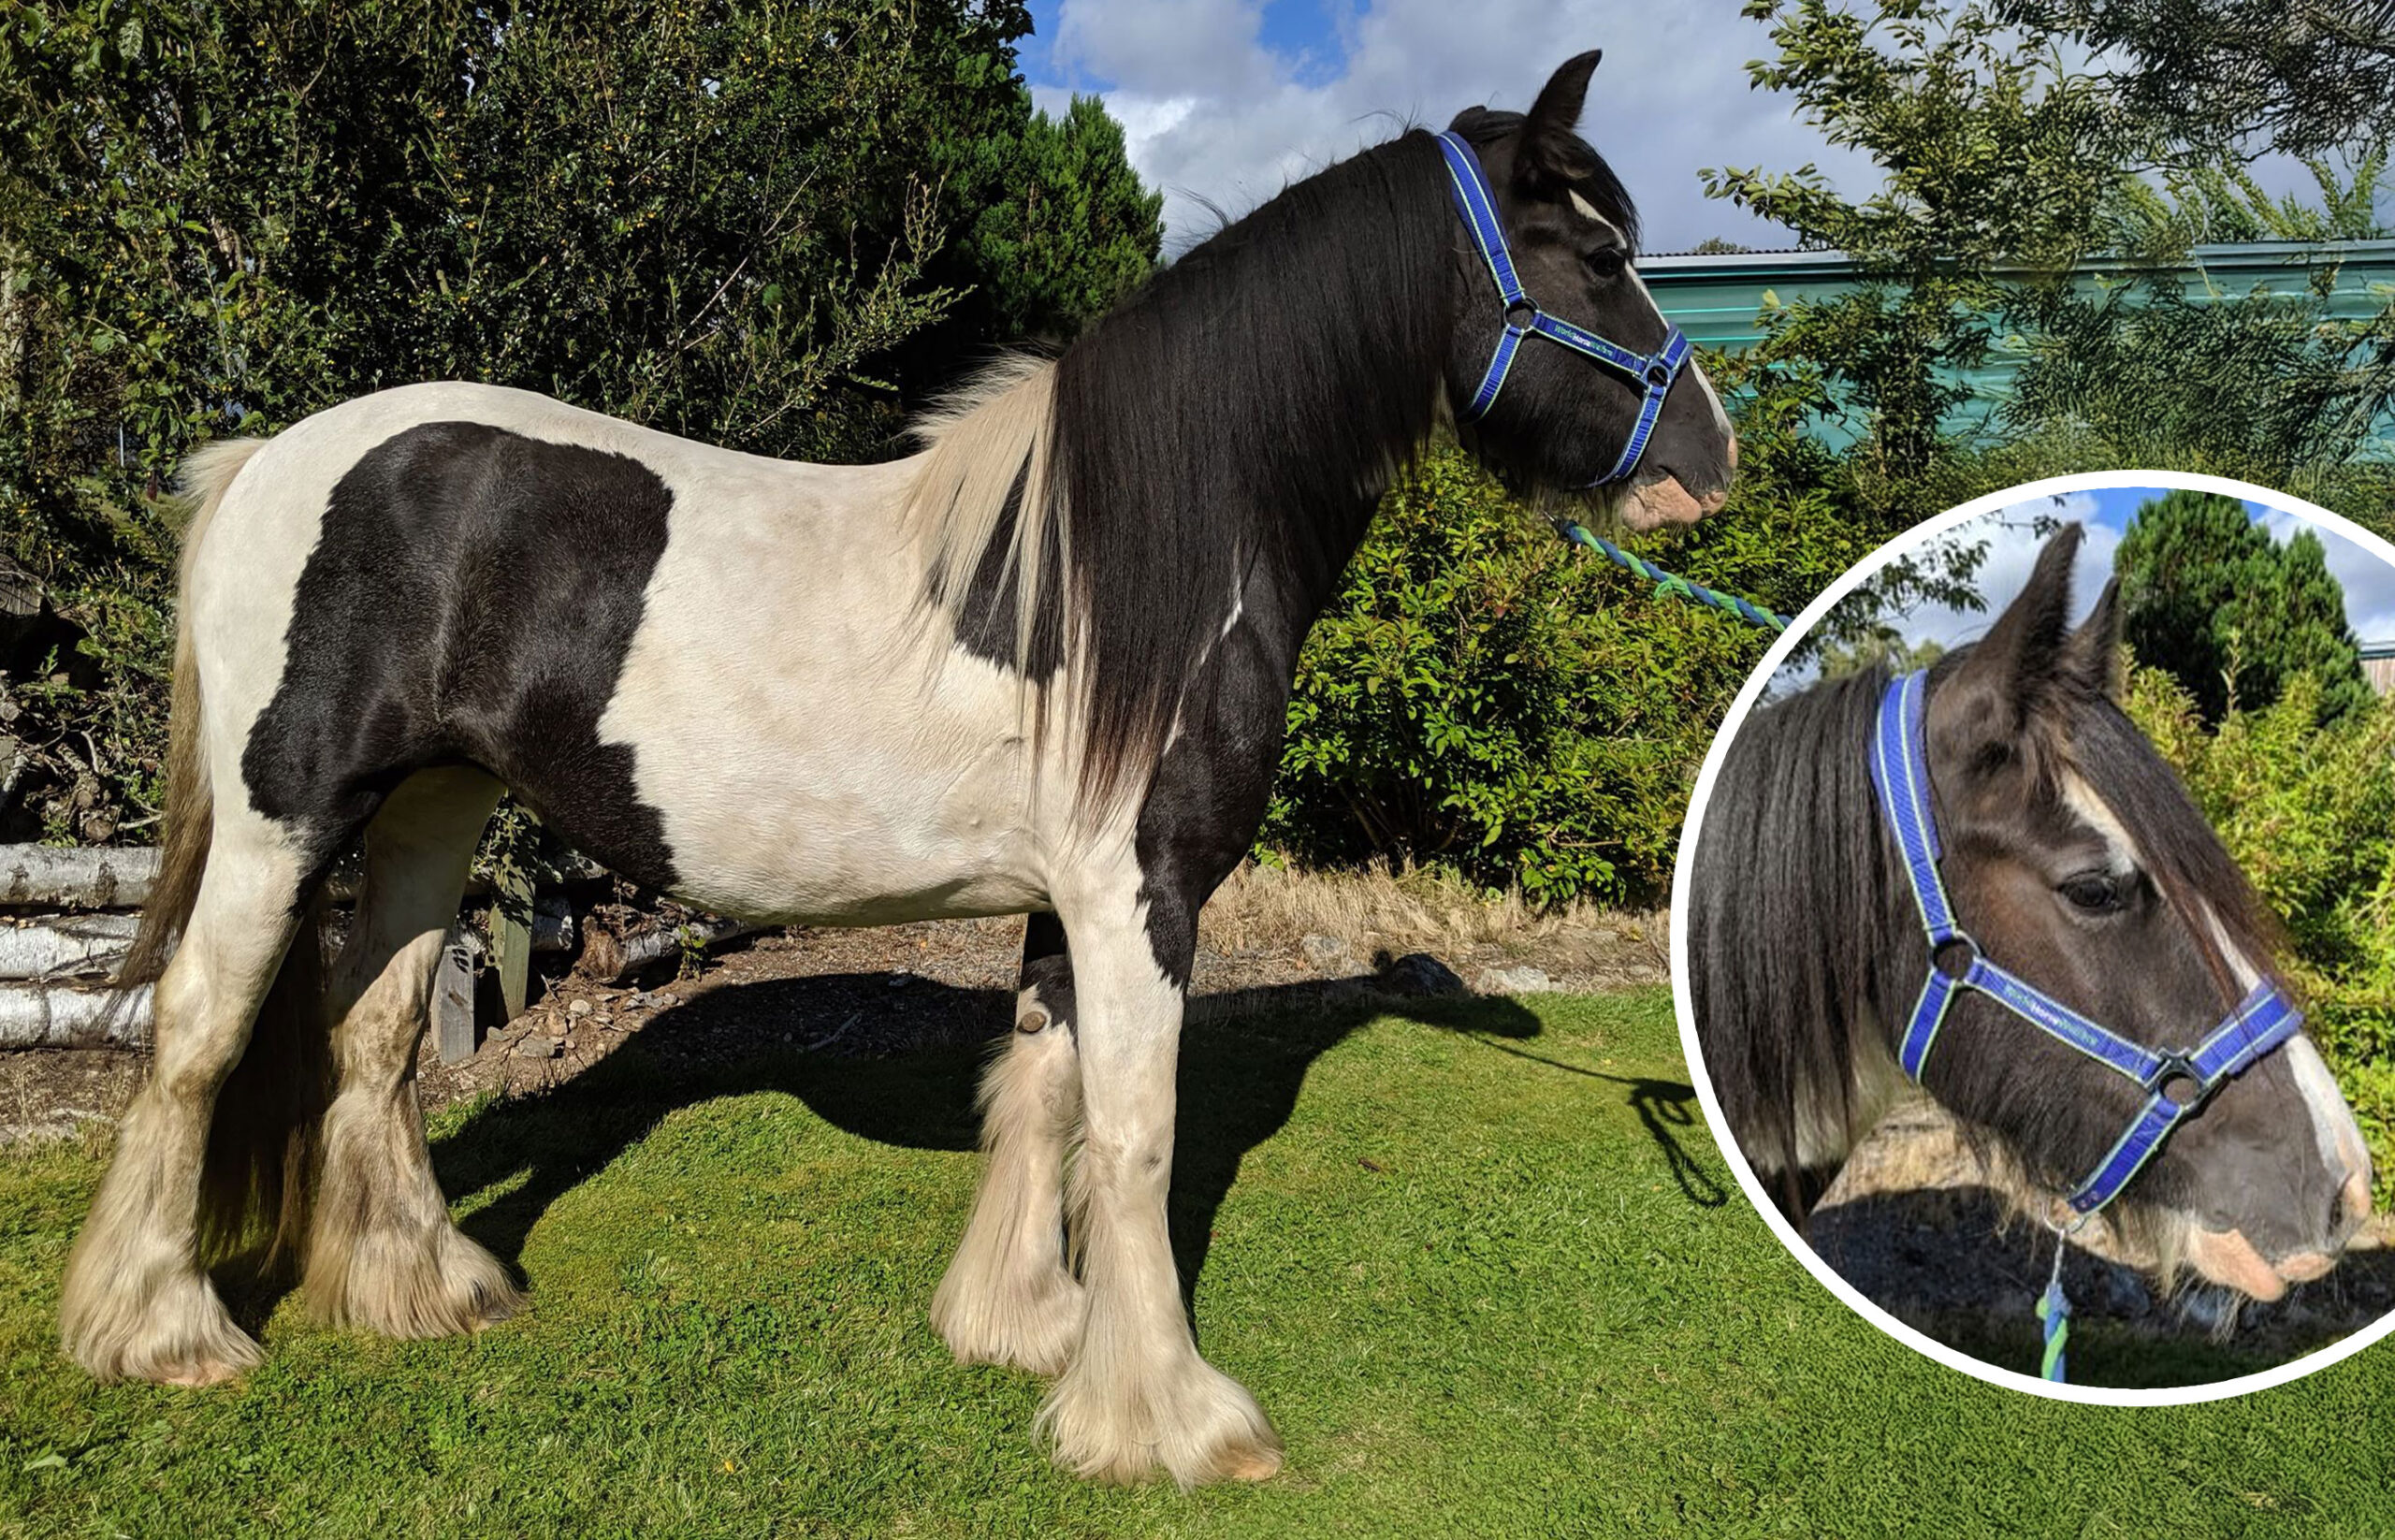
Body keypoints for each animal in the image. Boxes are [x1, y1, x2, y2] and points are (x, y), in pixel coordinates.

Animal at [59, 51, 1736, 1486]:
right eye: (1596, 253)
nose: (1710, 466)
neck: (1142, 554)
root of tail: (265, 460)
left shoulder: (1071, 898)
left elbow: (1045, 1093)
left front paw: (1031, 1333)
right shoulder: (1142, 893)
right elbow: (1134, 1134)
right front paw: (1179, 1419)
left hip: (429, 811)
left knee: (378, 1034)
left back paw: (422, 1289)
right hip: (285, 819)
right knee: (198, 1035)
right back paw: (161, 1331)